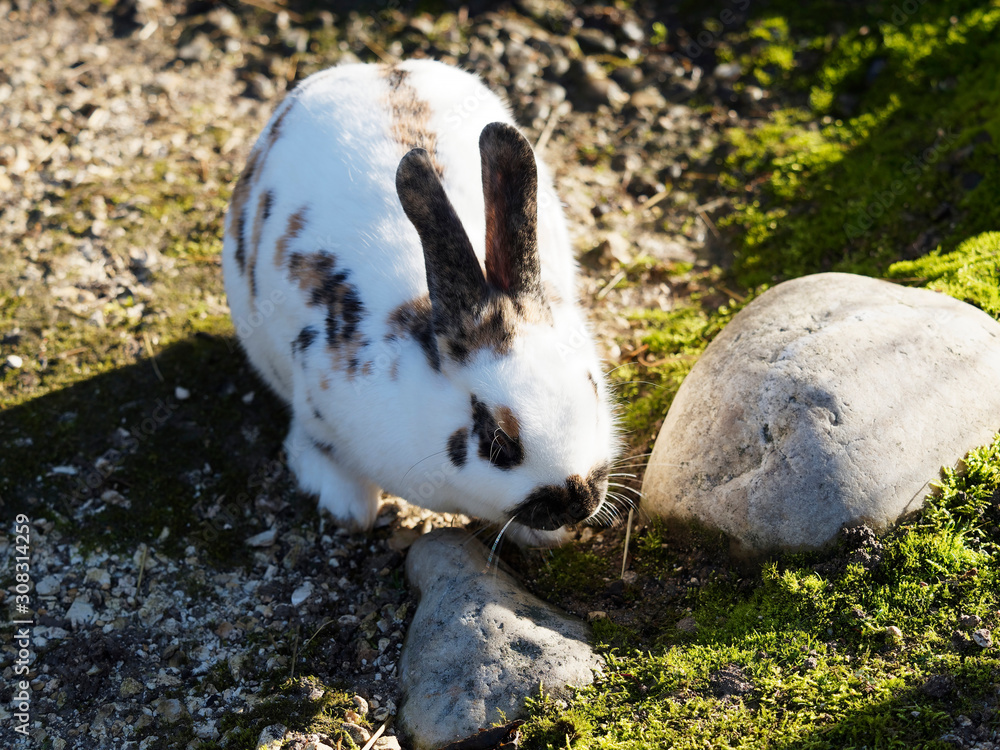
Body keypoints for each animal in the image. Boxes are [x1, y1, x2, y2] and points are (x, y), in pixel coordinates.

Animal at [221, 59, 621, 546]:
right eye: (497, 441)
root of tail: (377, 67)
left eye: (594, 388)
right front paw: (347, 507)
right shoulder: (312, 398)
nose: (578, 500)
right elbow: (313, 447)